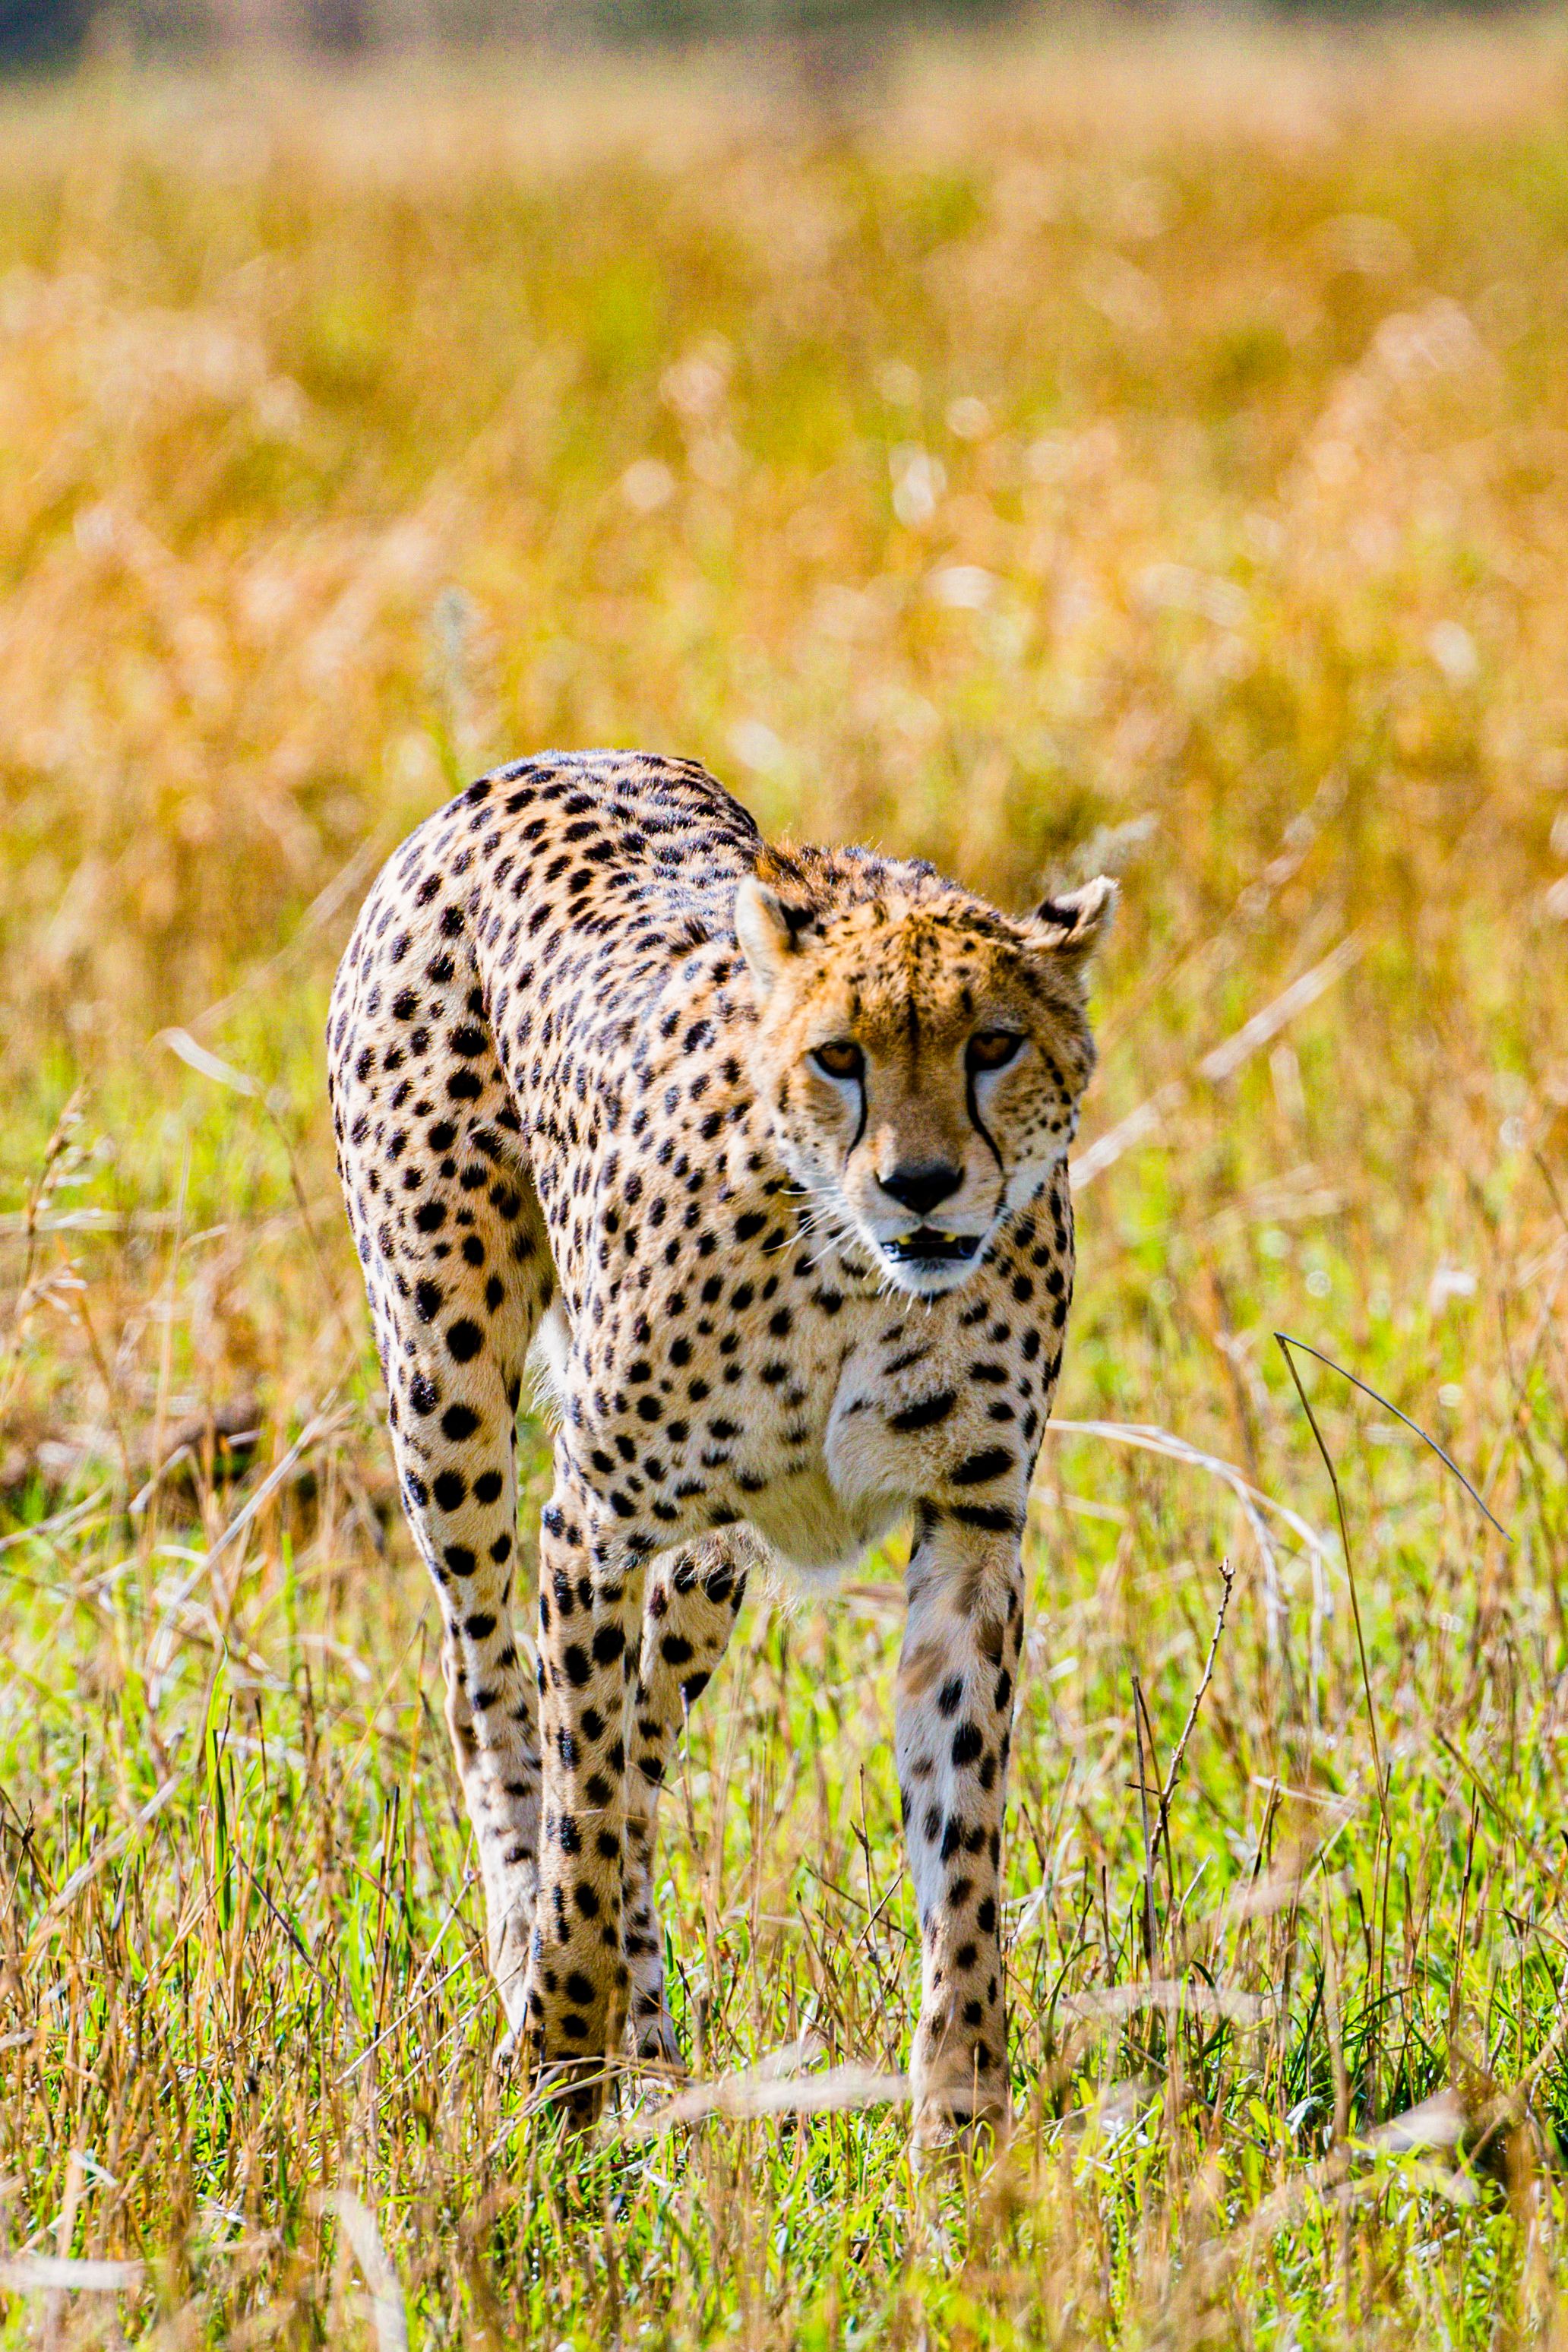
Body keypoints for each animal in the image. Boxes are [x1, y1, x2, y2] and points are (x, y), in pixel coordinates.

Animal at [327, 748, 1114, 2146]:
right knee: (491, 1693)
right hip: (445, 1391)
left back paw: (645, 2026)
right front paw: (557, 2076)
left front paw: (963, 2125)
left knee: (644, 1729)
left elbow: (958, 1836)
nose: (921, 1187)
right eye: (839, 1057)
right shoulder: (590, 1528)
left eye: (993, 1046)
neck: (855, 1277)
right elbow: (582, 1814)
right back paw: (537, 1976)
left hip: (711, 1561)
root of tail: (547, 759)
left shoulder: (969, 1533)